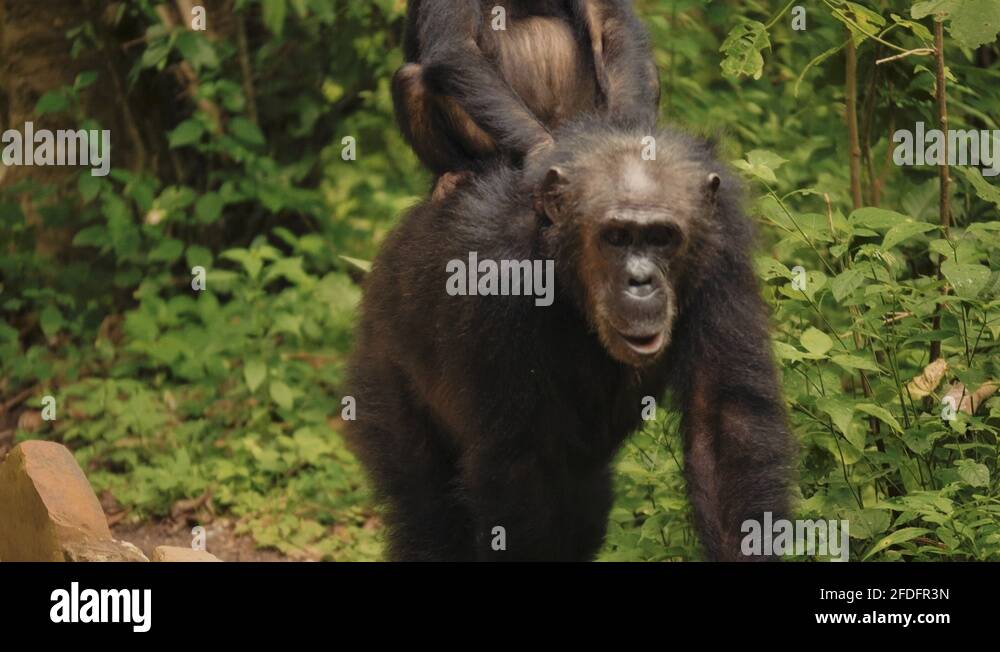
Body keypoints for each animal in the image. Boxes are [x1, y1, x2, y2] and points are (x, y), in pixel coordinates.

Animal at [345, 119, 795, 561]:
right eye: (617, 236)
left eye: (662, 237)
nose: (640, 281)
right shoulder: (498, 278)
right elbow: (519, 468)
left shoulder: (724, 252)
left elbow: (723, 426)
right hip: (382, 373)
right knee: (429, 509)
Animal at [392, 0, 660, 199]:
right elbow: (458, 44)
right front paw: (543, 152)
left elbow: (608, 20)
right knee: (410, 80)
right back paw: (451, 177)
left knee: (648, 71)